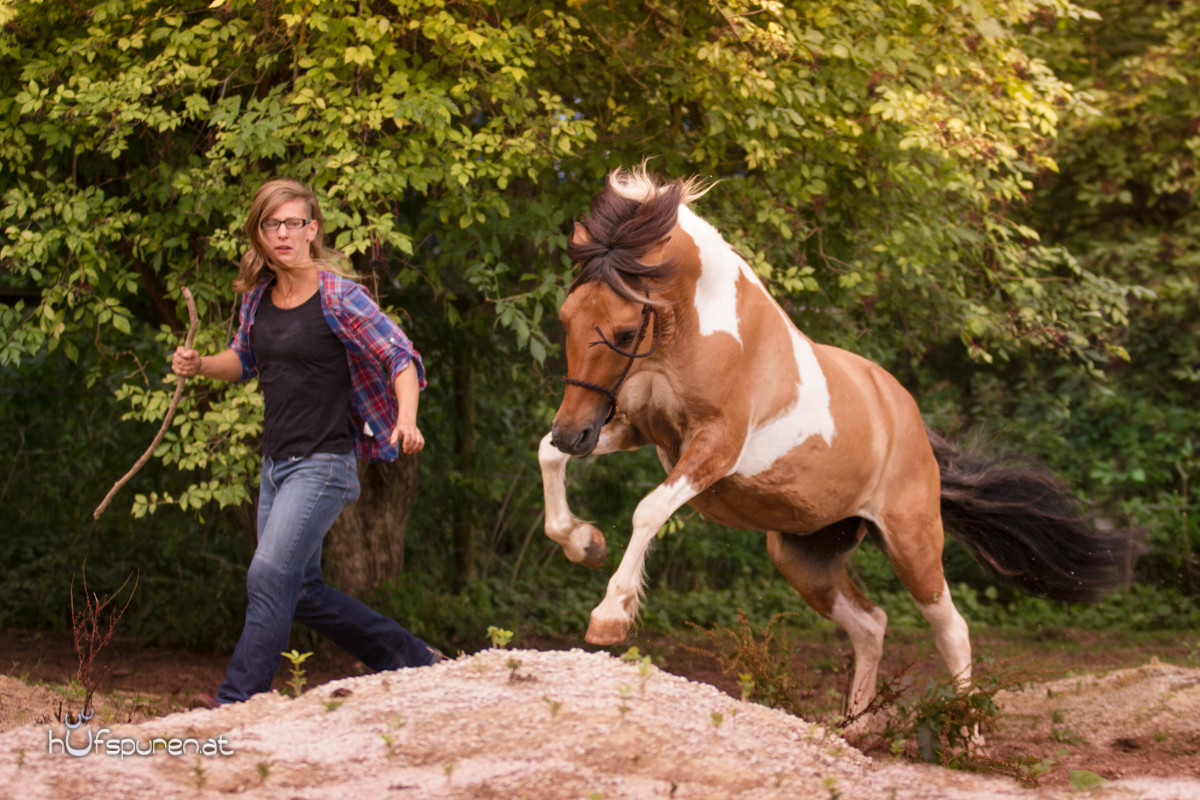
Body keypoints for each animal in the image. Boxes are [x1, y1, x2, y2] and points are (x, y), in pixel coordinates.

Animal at [538, 164, 1140, 724]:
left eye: (622, 332)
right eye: (565, 318)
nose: (575, 432)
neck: (701, 331)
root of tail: (914, 425)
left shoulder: (714, 446)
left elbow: (648, 508)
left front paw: (609, 615)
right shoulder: (635, 427)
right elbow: (547, 454)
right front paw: (584, 542)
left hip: (912, 543)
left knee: (952, 629)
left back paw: (964, 735)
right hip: (805, 555)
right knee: (871, 624)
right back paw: (852, 729)